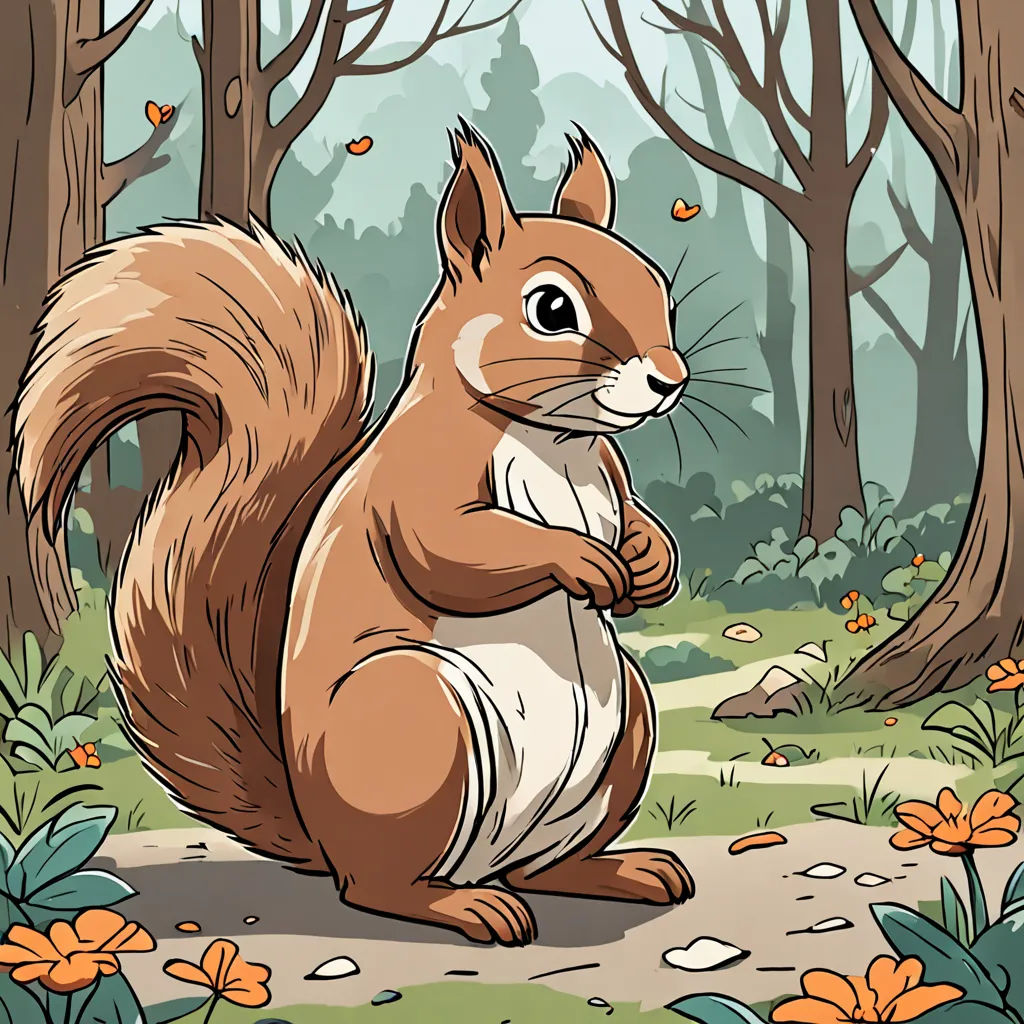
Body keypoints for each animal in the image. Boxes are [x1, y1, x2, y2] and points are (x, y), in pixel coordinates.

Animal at [14, 121, 693, 946]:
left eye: (657, 286)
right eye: (552, 308)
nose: (668, 378)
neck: (554, 441)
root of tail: (319, 834)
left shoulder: (610, 471)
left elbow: (637, 518)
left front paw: (649, 562)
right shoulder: (419, 479)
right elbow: (452, 551)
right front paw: (585, 561)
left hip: (622, 725)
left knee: (545, 866)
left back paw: (621, 871)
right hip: (414, 718)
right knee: (376, 886)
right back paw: (463, 906)